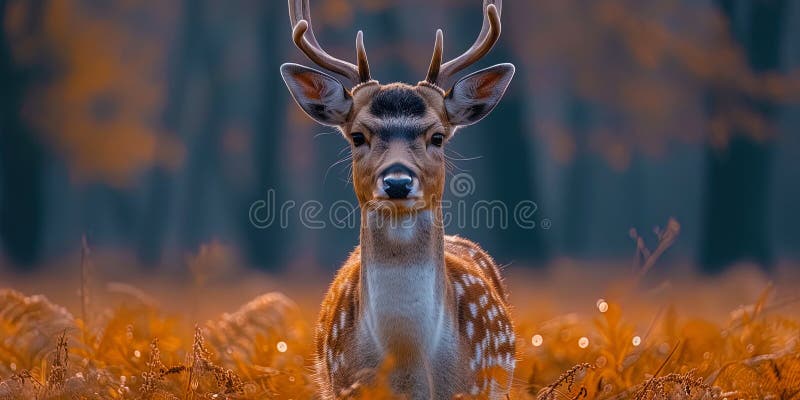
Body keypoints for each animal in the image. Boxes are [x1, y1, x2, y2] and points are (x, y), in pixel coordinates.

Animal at [279, 0, 516, 398]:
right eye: (358, 136)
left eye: (437, 137)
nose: (398, 182)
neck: (408, 361)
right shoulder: (343, 384)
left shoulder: (475, 386)